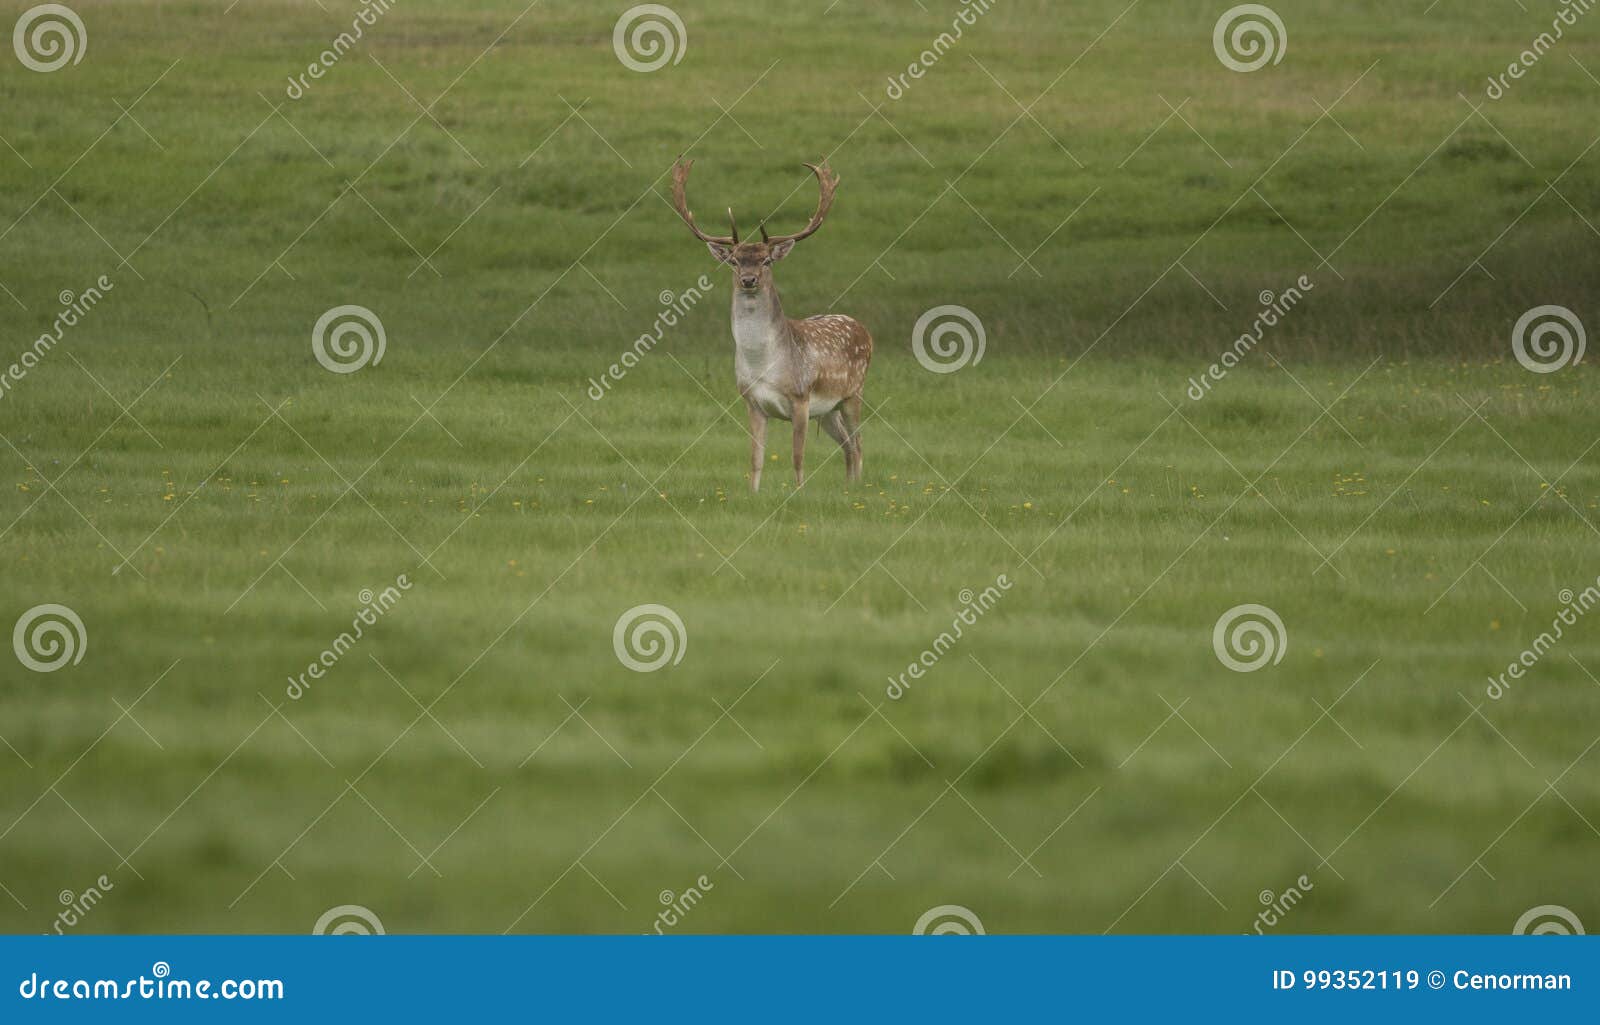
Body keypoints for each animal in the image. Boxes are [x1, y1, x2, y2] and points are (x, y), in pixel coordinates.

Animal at [670, 157, 873, 492]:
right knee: (847, 445)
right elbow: (755, 459)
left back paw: (857, 489)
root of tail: (863, 329)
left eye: (766, 260)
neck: (765, 366)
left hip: (852, 393)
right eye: (735, 261)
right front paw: (753, 494)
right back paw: (848, 488)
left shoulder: (801, 398)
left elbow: (797, 457)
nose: (749, 279)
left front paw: (799, 492)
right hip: (827, 410)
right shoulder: (751, 401)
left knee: (858, 444)